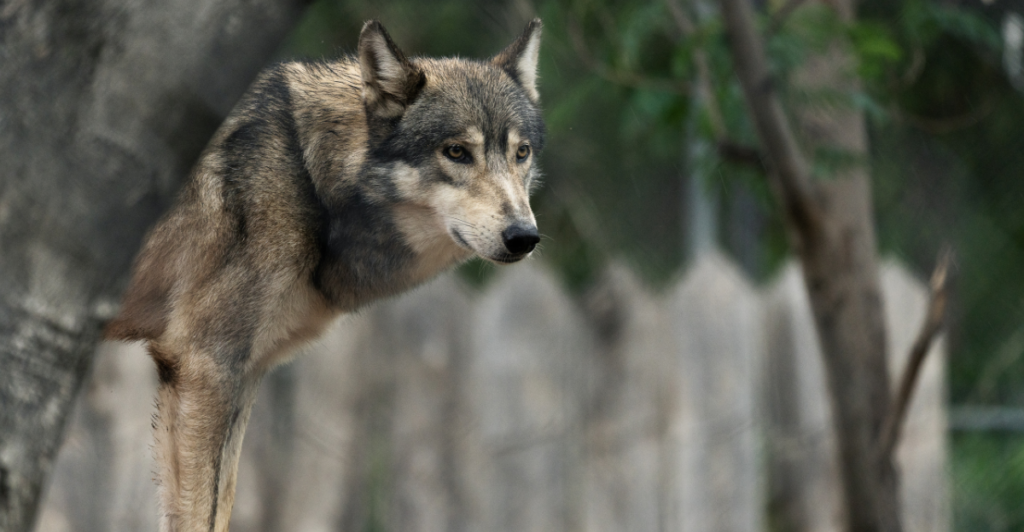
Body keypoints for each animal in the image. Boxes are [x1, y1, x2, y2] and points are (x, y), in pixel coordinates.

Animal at [104, 19, 544, 532]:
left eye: (521, 153)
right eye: (456, 152)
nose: (524, 236)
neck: (309, 177)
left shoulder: (242, 376)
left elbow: (223, 507)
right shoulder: (203, 366)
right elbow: (200, 517)